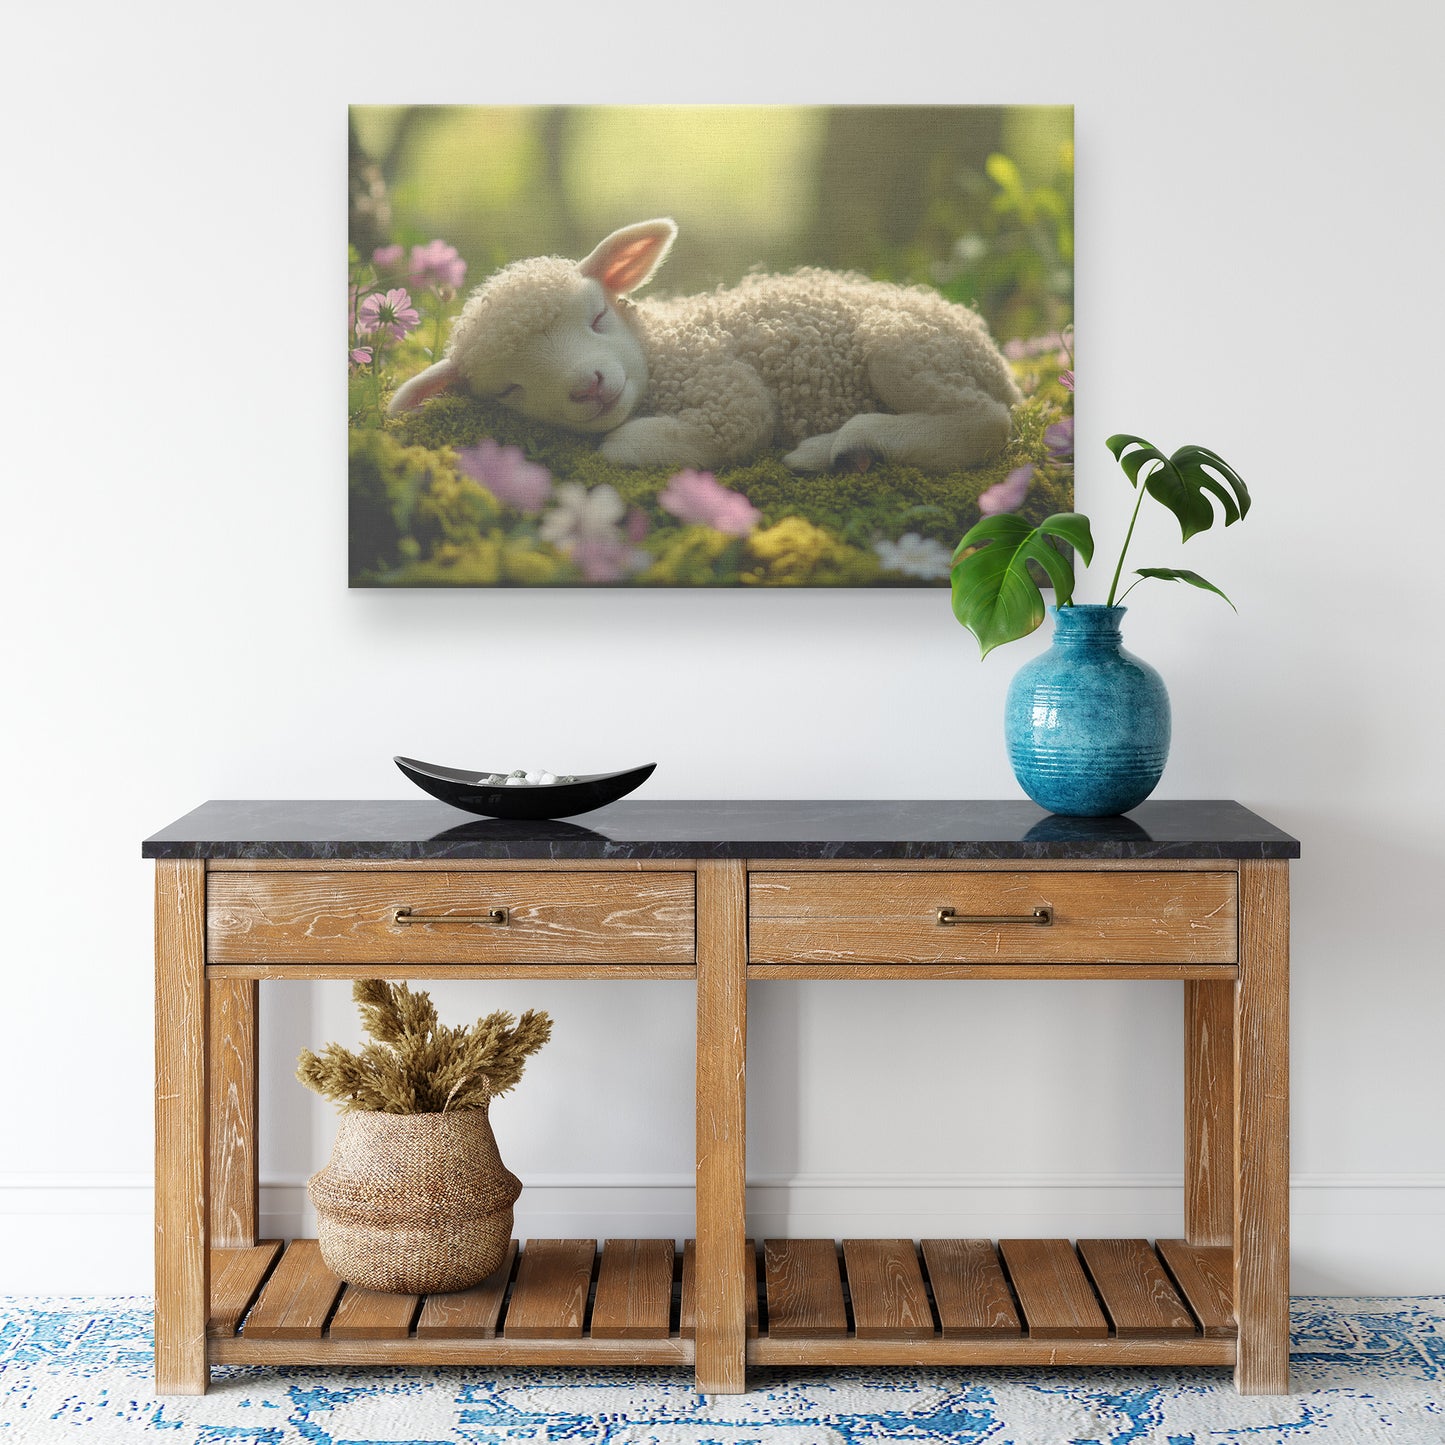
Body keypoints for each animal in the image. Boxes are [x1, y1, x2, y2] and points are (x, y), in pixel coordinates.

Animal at [388, 218, 1021, 474]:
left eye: (597, 316)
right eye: (510, 388)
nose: (588, 386)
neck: (665, 344)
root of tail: (997, 359)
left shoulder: (726, 390)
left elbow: (640, 443)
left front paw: (624, 441)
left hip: (907, 345)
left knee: (983, 422)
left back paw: (842, 443)